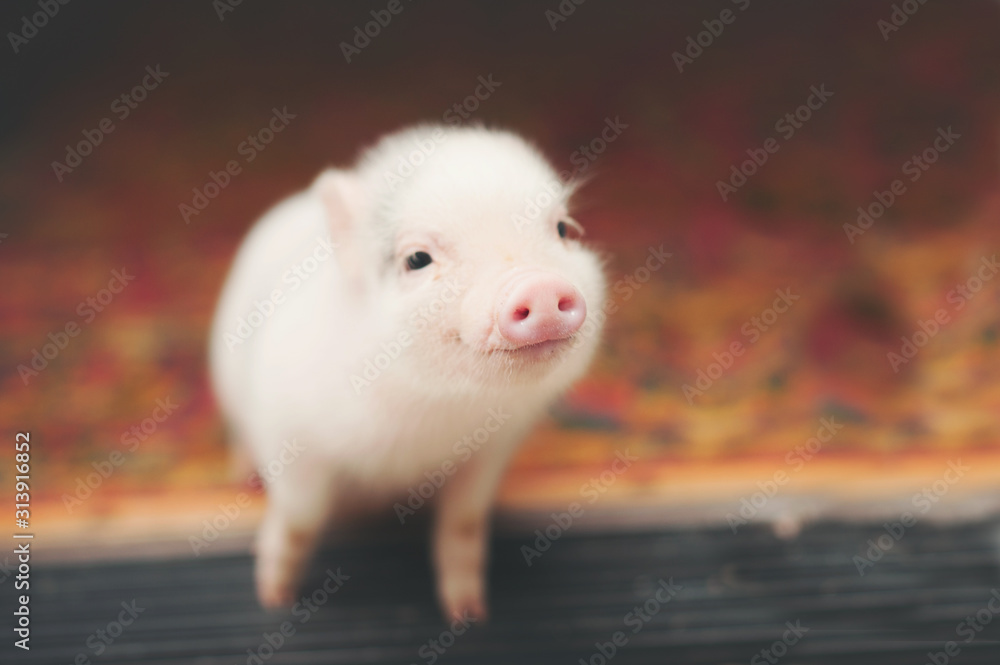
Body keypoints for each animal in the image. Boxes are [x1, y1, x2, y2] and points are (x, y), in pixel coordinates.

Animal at [208, 124, 607, 621]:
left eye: (563, 230)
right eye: (417, 258)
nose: (539, 285)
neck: (427, 420)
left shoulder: (493, 447)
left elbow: (463, 522)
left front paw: (468, 615)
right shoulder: (287, 428)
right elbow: (300, 518)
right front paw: (274, 599)